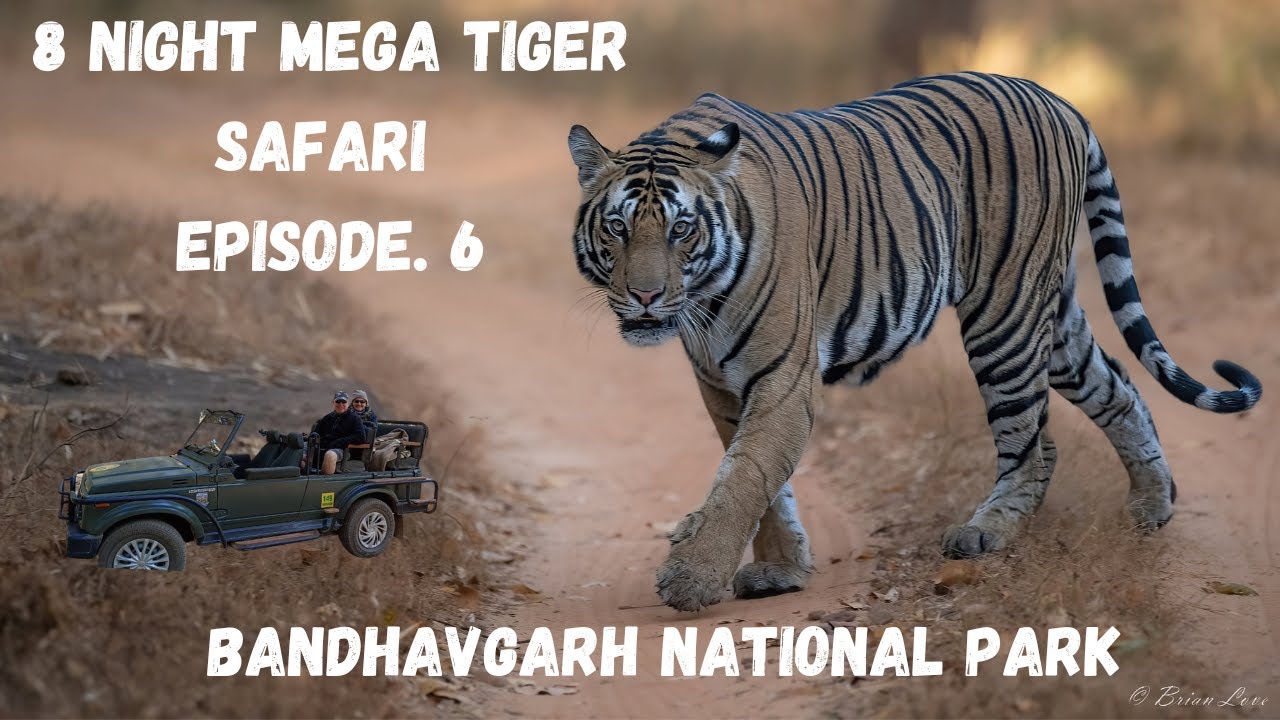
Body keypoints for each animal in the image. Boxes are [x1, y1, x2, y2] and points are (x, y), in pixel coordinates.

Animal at [566, 72, 1262, 612]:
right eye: (618, 228)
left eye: (681, 228)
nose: (647, 297)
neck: (703, 301)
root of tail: (1058, 99)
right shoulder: (719, 381)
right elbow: (757, 480)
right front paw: (781, 568)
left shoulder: (783, 377)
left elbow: (747, 475)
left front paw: (691, 578)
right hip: (1055, 318)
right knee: (1117, 390)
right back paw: (1152, 505)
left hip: (1004, 315)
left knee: (1034, 442)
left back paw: (987, 533)